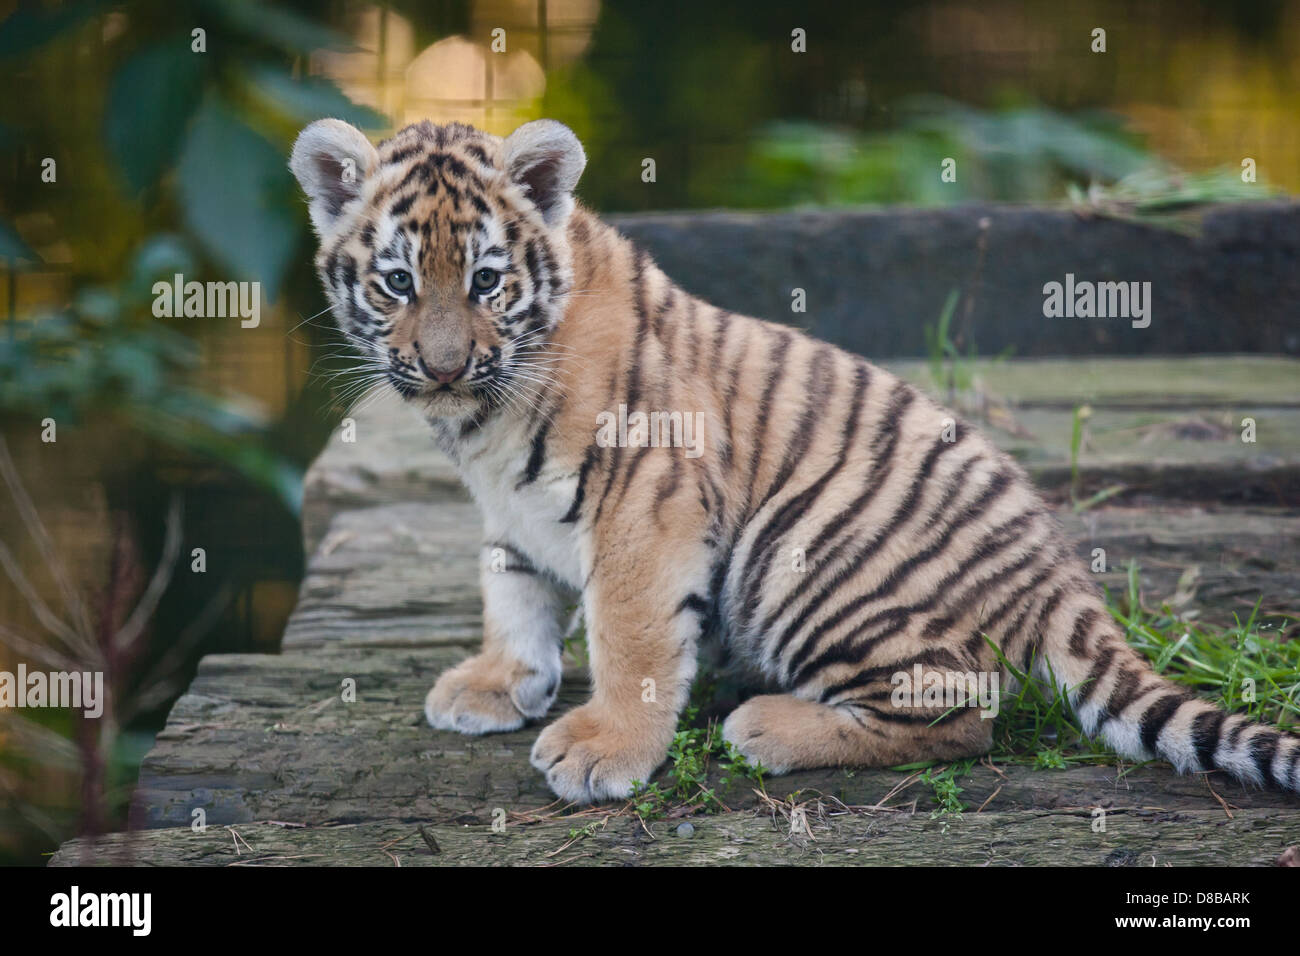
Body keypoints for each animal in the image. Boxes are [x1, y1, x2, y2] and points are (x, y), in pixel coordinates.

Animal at [289, 117, 1300, 805]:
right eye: (398, 283)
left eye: (488, 281)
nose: (443, 366)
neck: (482, 419)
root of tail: (1057, 577)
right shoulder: (512, 509)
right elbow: (513, 591)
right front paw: (500, 682)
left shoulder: (646, 505)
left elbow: (631, 637)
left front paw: (605, 749)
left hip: (798, 557)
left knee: (962, 711)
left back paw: (765, 724)